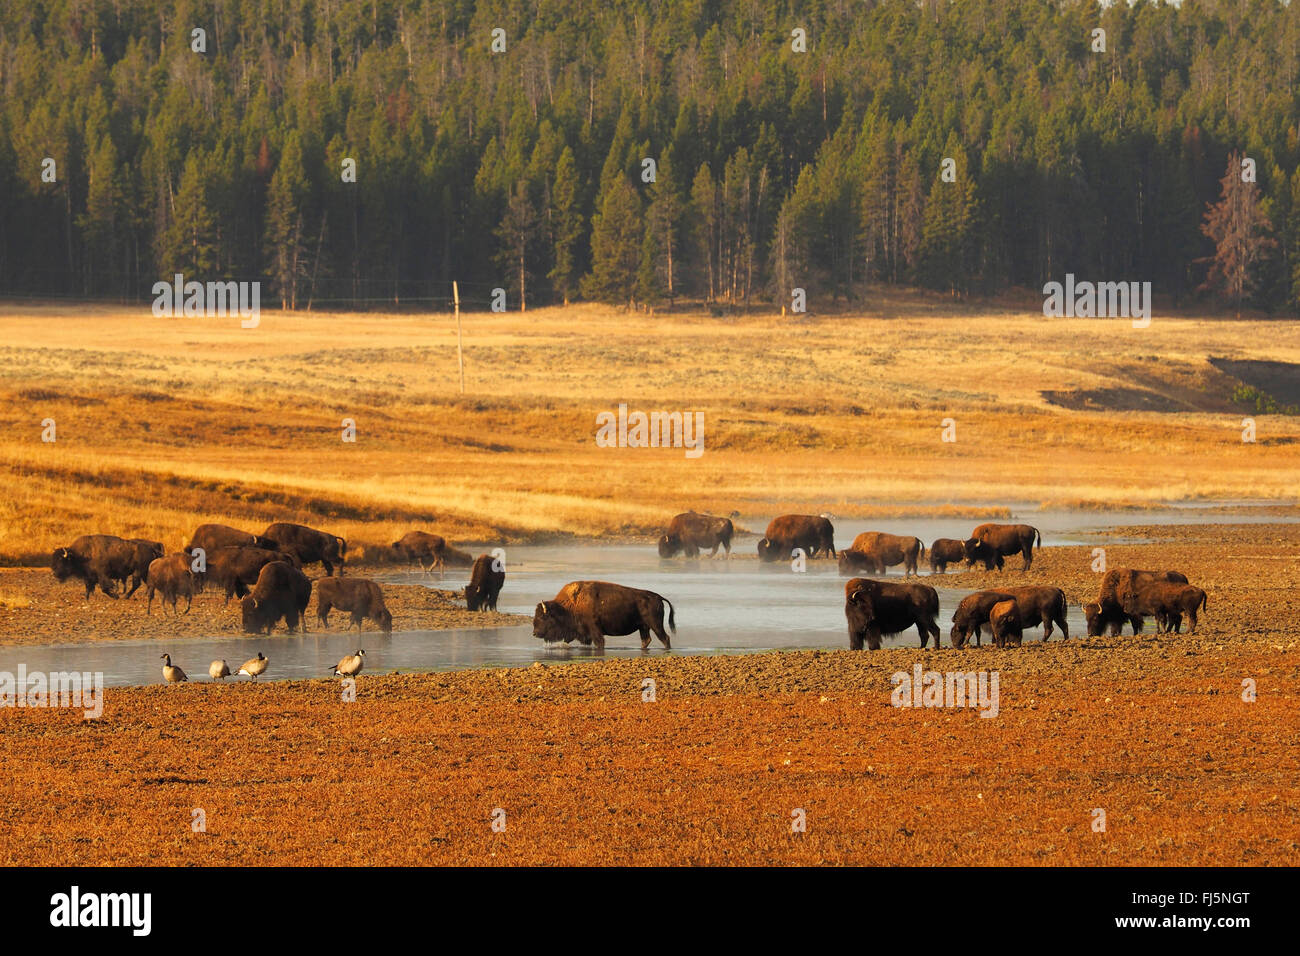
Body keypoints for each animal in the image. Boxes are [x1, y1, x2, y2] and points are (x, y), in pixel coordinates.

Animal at [532, 581, 675, 650]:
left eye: (542, 617)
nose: (534, 633)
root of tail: (658, 597)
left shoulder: (595, 630)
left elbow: (600, 642)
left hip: (656, 625)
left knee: (665, 638)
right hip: (643, 627)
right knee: (646, 640)